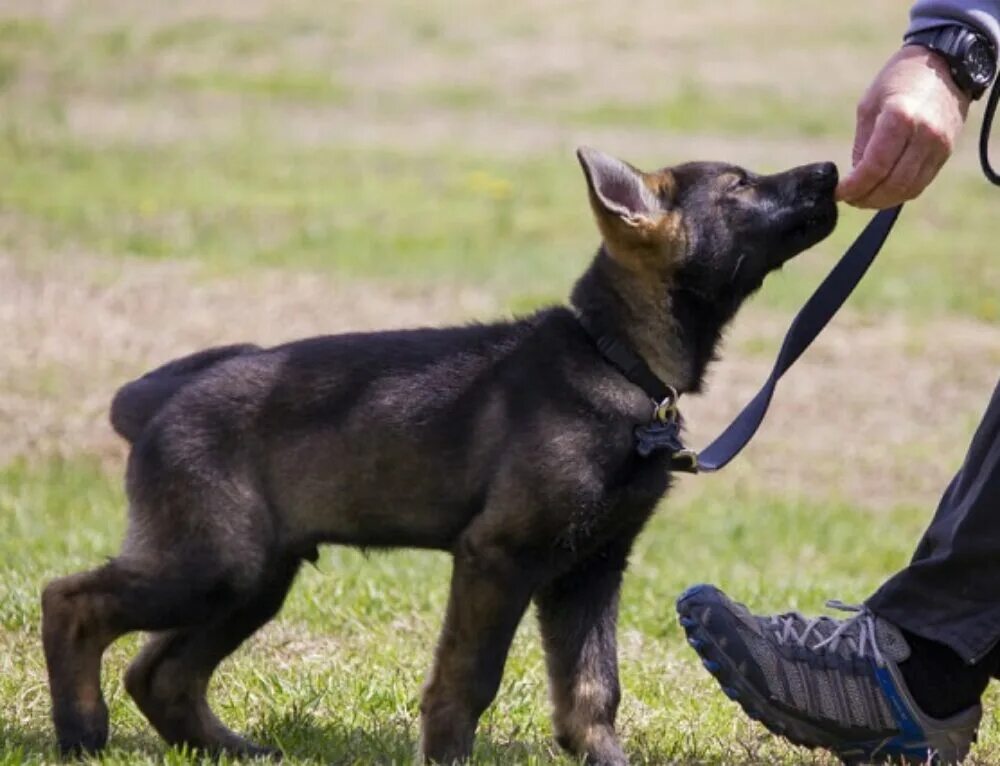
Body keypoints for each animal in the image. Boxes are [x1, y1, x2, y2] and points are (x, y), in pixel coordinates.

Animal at [41, 150, 836, 766]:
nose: (830, 170)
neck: (615, 358)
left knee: (161, 672)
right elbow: (468, 679)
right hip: (215, 562)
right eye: (739, 184)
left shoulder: (590, 569)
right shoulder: (498, 557)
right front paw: (448, 753)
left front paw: (605, 757)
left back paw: (227, 749)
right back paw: (82, 732)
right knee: (71, 601)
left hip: (253, 576)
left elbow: (592, 688)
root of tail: (153, 403)